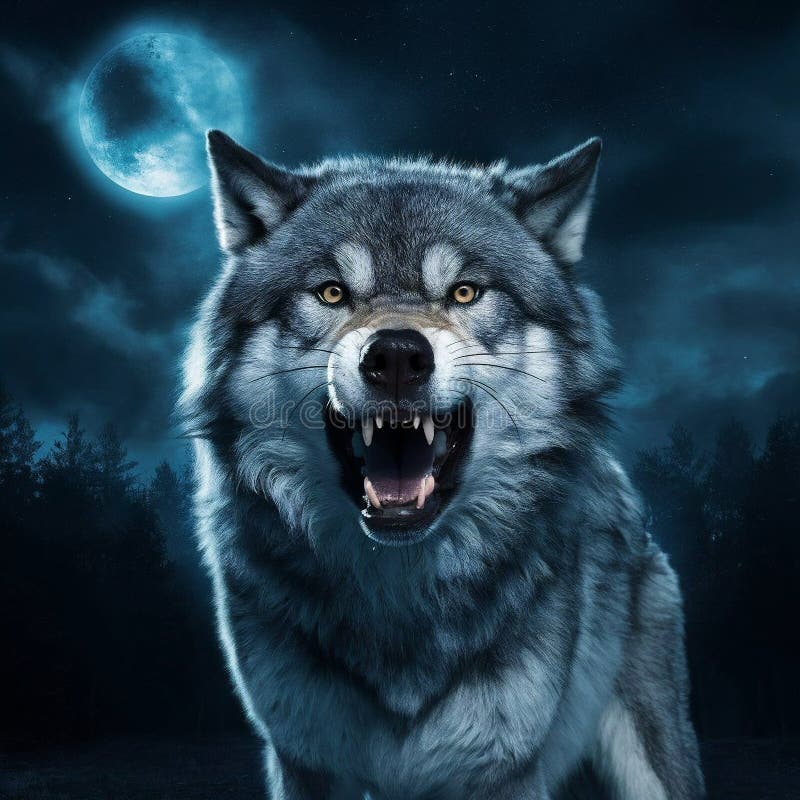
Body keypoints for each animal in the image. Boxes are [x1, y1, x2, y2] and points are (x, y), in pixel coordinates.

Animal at [180, 129, 704, 799]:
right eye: (331, 292)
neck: (401, 588)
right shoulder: (305, 761)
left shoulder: (504, 769)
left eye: (464, 292)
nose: (397, 356)